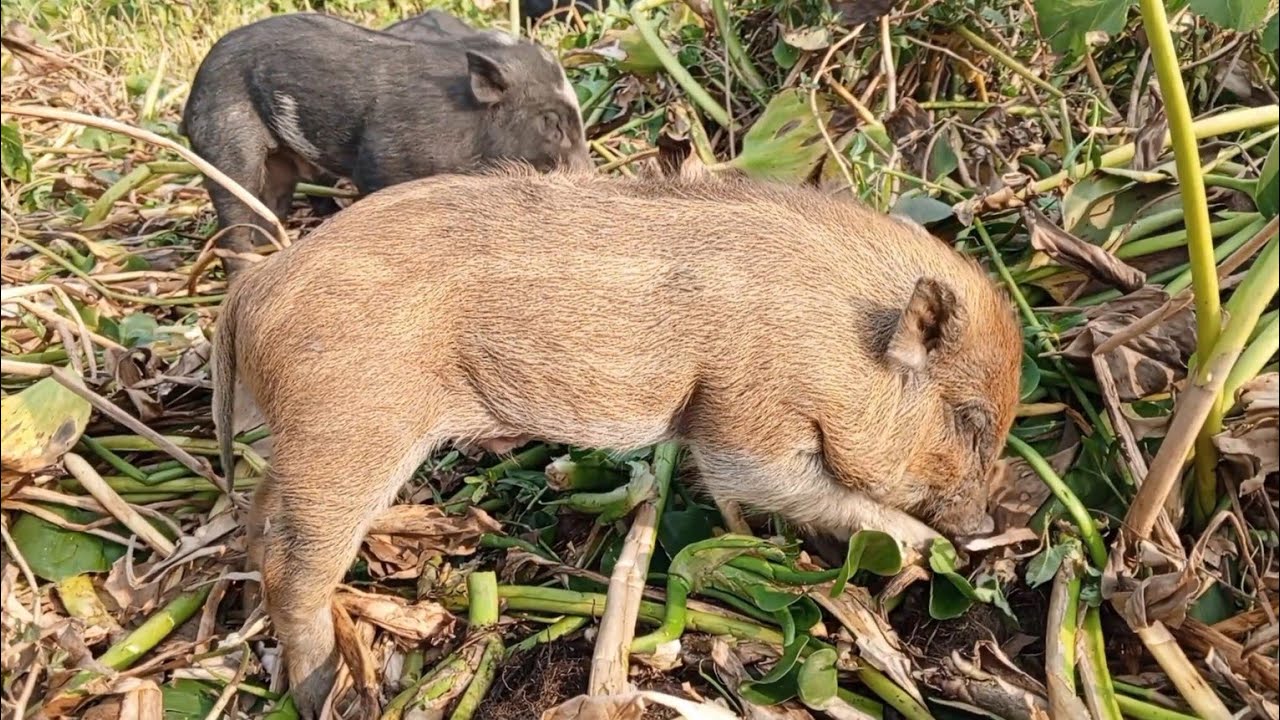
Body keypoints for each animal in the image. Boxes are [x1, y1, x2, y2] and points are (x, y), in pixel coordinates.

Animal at [181, 12, 590, 277]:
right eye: (551, 122)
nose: (588, 175)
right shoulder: (380, 164)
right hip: (225, 146)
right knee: (234, 216)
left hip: (280, 164)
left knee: (270, 210)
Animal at [211, 167, 1022, 718]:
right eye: (970, 417)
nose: (986, 526)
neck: (838, 338)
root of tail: (248, 292)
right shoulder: (741, 426)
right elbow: (784, 488)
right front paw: (928, 547)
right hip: (346, 440)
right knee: (293, 569)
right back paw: (329, 692)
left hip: (299, 444)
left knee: (257, 517)